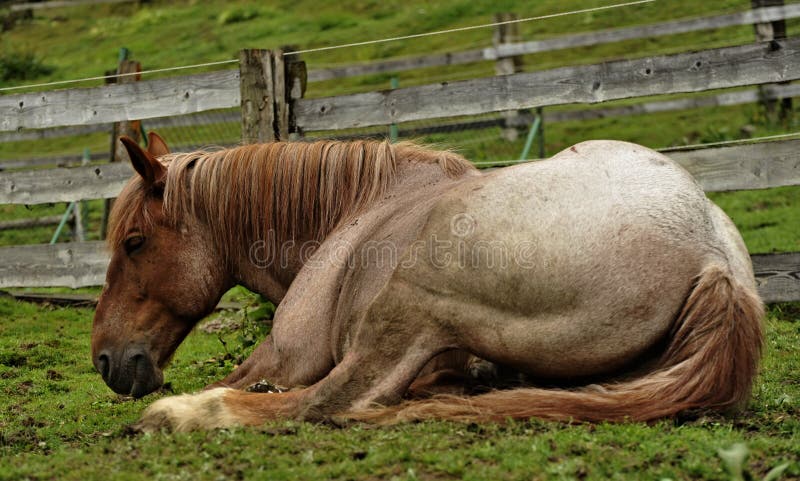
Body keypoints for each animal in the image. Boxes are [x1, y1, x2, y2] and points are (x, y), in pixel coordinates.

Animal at [91, 132, 764, 432]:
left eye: (134, 242)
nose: (105, 359)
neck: (355, 208)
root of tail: (712, 255)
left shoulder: (288, 351)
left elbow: (252, 379)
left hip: (413, 299)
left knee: (334, 400)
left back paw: (183, 413)